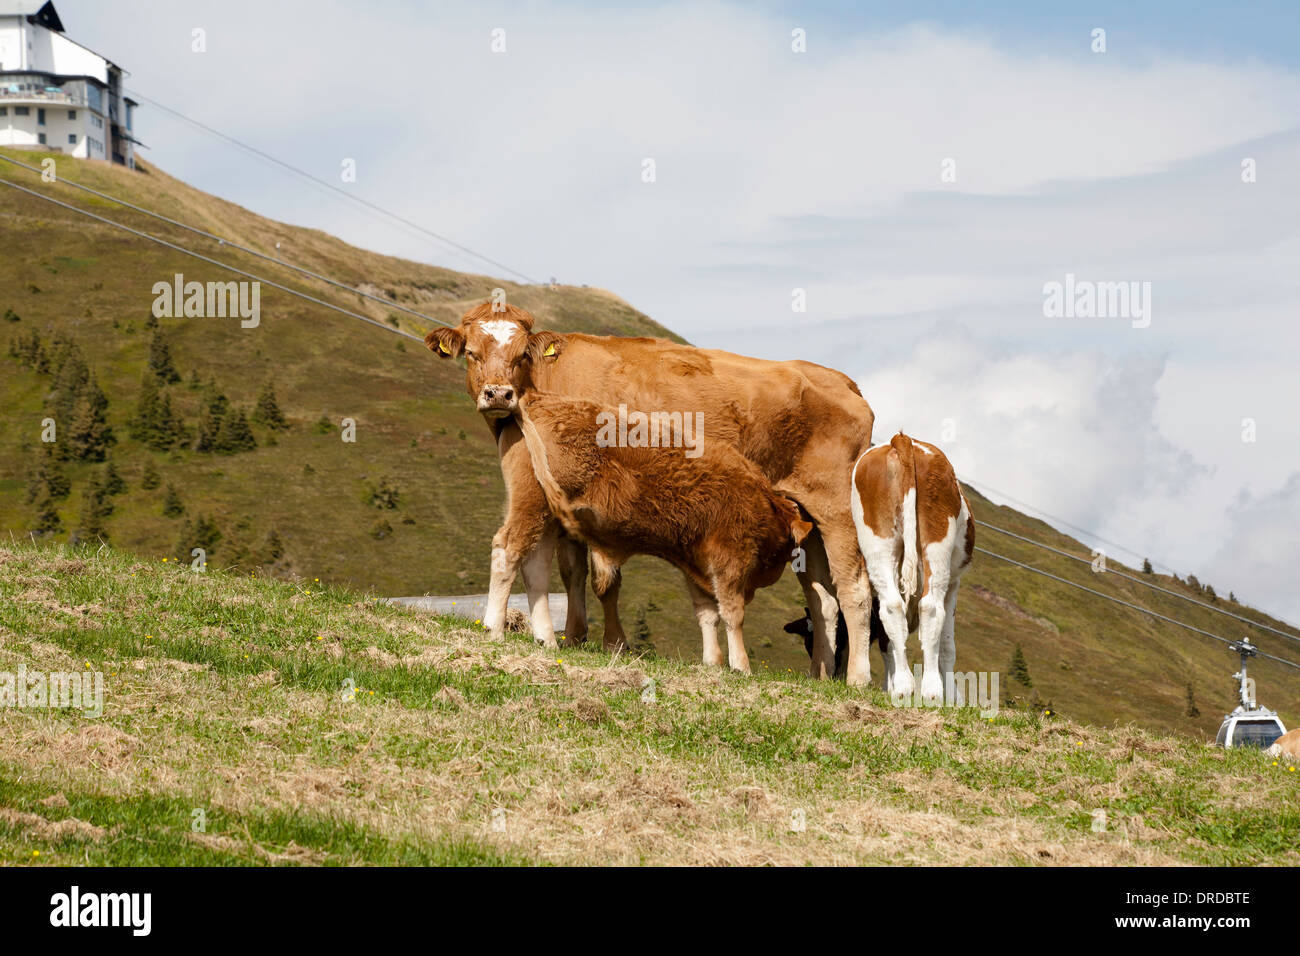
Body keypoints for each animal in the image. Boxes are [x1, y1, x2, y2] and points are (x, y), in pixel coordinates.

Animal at [515, 390, 811, 672]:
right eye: (789, 546)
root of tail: (540, 400)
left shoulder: (699, 565)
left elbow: (707, 613)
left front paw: (713, 661)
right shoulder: (730, 562)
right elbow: (732, 613)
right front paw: (741, 665)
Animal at [850, 432, 974, 705]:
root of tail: (902, 439)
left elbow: (887, 641)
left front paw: (892, 686)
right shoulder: (955, 583)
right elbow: (947, 644)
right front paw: (955, 697)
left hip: (877, 542)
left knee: (892, 607)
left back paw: (904, 687)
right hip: (937, 541)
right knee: (930, 607)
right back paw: (931, 691)